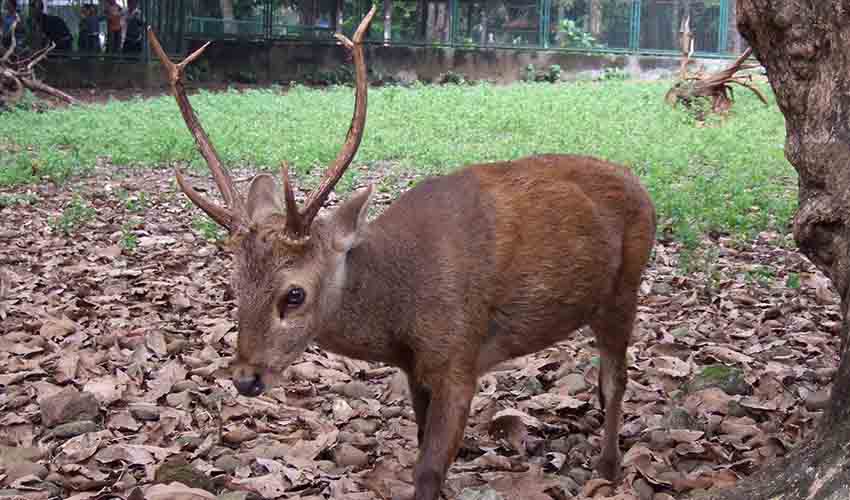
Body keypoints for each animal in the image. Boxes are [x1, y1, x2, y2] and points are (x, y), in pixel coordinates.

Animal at [148, 7, 655, 500]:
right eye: (235, 285)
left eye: (294, 295)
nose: (245, 378)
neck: (402, 313)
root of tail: (641, 187)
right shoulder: (415, 369)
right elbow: (420, 443)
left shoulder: (460, 356)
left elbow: (428, 471)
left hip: (625, 289)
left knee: (616, 380)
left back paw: (608, 468)